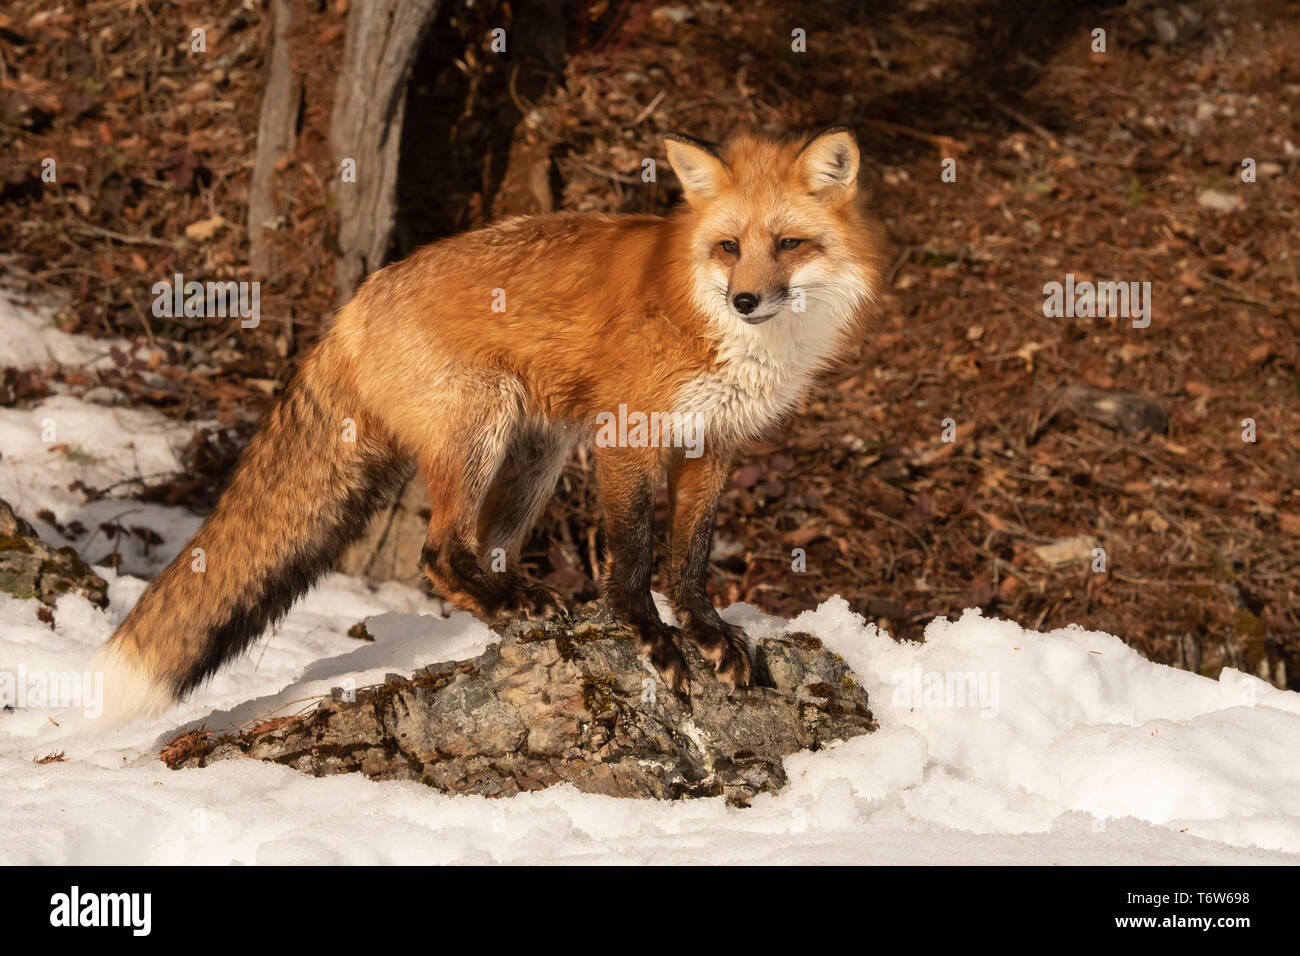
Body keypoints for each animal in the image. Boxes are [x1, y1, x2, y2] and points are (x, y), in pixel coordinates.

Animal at [93, 126, 886, 725]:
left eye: (788, 244)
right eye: (729, 247)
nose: (747, 300)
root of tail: (356, 301)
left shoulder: (714, 445)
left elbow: (690, 559)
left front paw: (708, 633)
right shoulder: (627, 433)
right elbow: (633, 557)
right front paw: (651, 639)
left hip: (536, 454)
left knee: (482, 553)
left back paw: (520, 613)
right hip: (483, 426)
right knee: (441, 554)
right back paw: (520, 605)